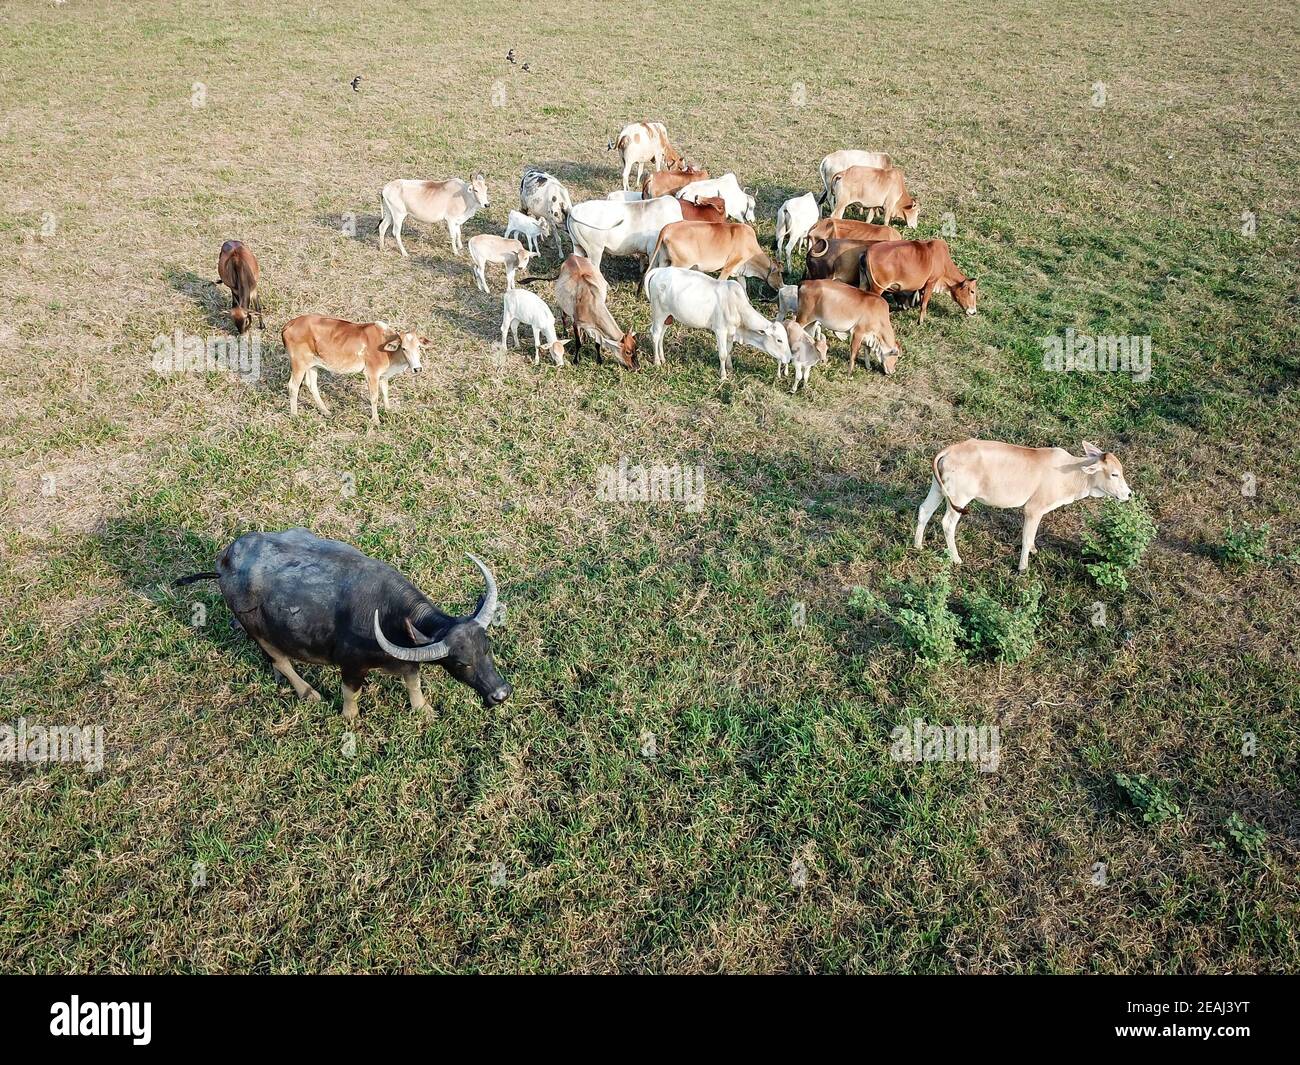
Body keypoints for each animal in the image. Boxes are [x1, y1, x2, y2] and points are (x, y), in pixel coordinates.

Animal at [173, 529, 510, 720]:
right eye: (461, 663)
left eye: (487, 648)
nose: (501, 694)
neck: (389, 614)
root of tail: (224, 563)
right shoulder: (350, 665)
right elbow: (351, 693)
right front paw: (350, 719)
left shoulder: (407, 656)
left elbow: (413, 681)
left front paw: (423, 711)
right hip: (258, 630)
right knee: (280, 659)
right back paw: (308, 692)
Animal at [281, 315, 427, 426]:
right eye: (404, 348)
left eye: (419, 347)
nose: (417, 368)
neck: (388, 351)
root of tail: (290, 324)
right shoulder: (372, 373)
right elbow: (374, 397)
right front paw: (376, 420)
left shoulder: (383, 375)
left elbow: (385, 393)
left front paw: (389, 410)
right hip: (299, 364)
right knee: (293, 386)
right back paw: (294, 415)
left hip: (312, 365)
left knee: (312, 385)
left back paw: (325, 411)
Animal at [644, 266, 791, 380]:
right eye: (779, 340)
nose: (789, 358)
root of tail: (660, 270)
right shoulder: (720, 330)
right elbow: (722, 353)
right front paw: (723, 375)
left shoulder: (731, 332)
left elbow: (729, 350)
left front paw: (730, 367)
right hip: (659, 313)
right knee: (655, 334)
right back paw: (657, 361)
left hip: (668, 316)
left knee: (662, 335)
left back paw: (663, 358)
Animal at [649, 220, 783, 292]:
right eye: (779, 273)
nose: (782, 286)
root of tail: (667, 228)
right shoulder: (728, 267)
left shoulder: (739, 272)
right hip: (681, 264)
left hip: (664, 260)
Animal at [915, 440, 1133, 572]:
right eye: (1114, 474)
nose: (1129, 494)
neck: (1071, 474)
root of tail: (950, 449)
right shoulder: (1033, 509)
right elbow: (1027, 538)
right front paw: (1023, 568)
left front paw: (1034, 551)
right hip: (960, 498)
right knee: (947, 524)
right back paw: (956, 559)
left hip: (938, 489)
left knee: (924, 511)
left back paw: (918, 545)